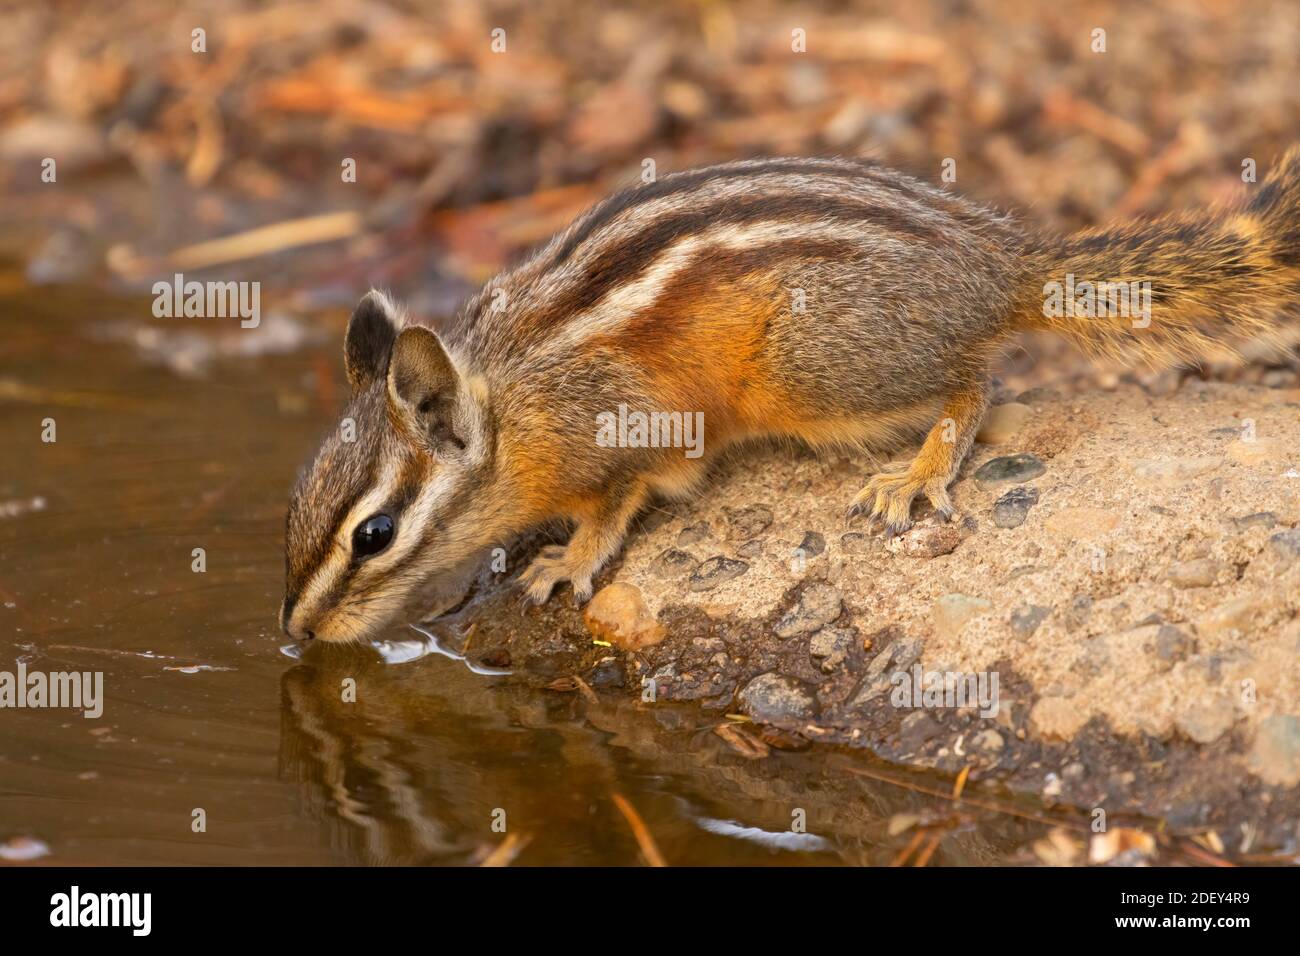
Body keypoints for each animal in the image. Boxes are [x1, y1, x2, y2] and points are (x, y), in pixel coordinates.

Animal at [282, 151, 1300, 643]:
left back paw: (920, 470)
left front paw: (566, 558)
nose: (296, 632)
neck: (513, 400)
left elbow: (616, 503)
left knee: (976, 380)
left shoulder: (624, 427)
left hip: (815, 372)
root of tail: (1001, 264)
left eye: (374, 535)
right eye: (297, 500)